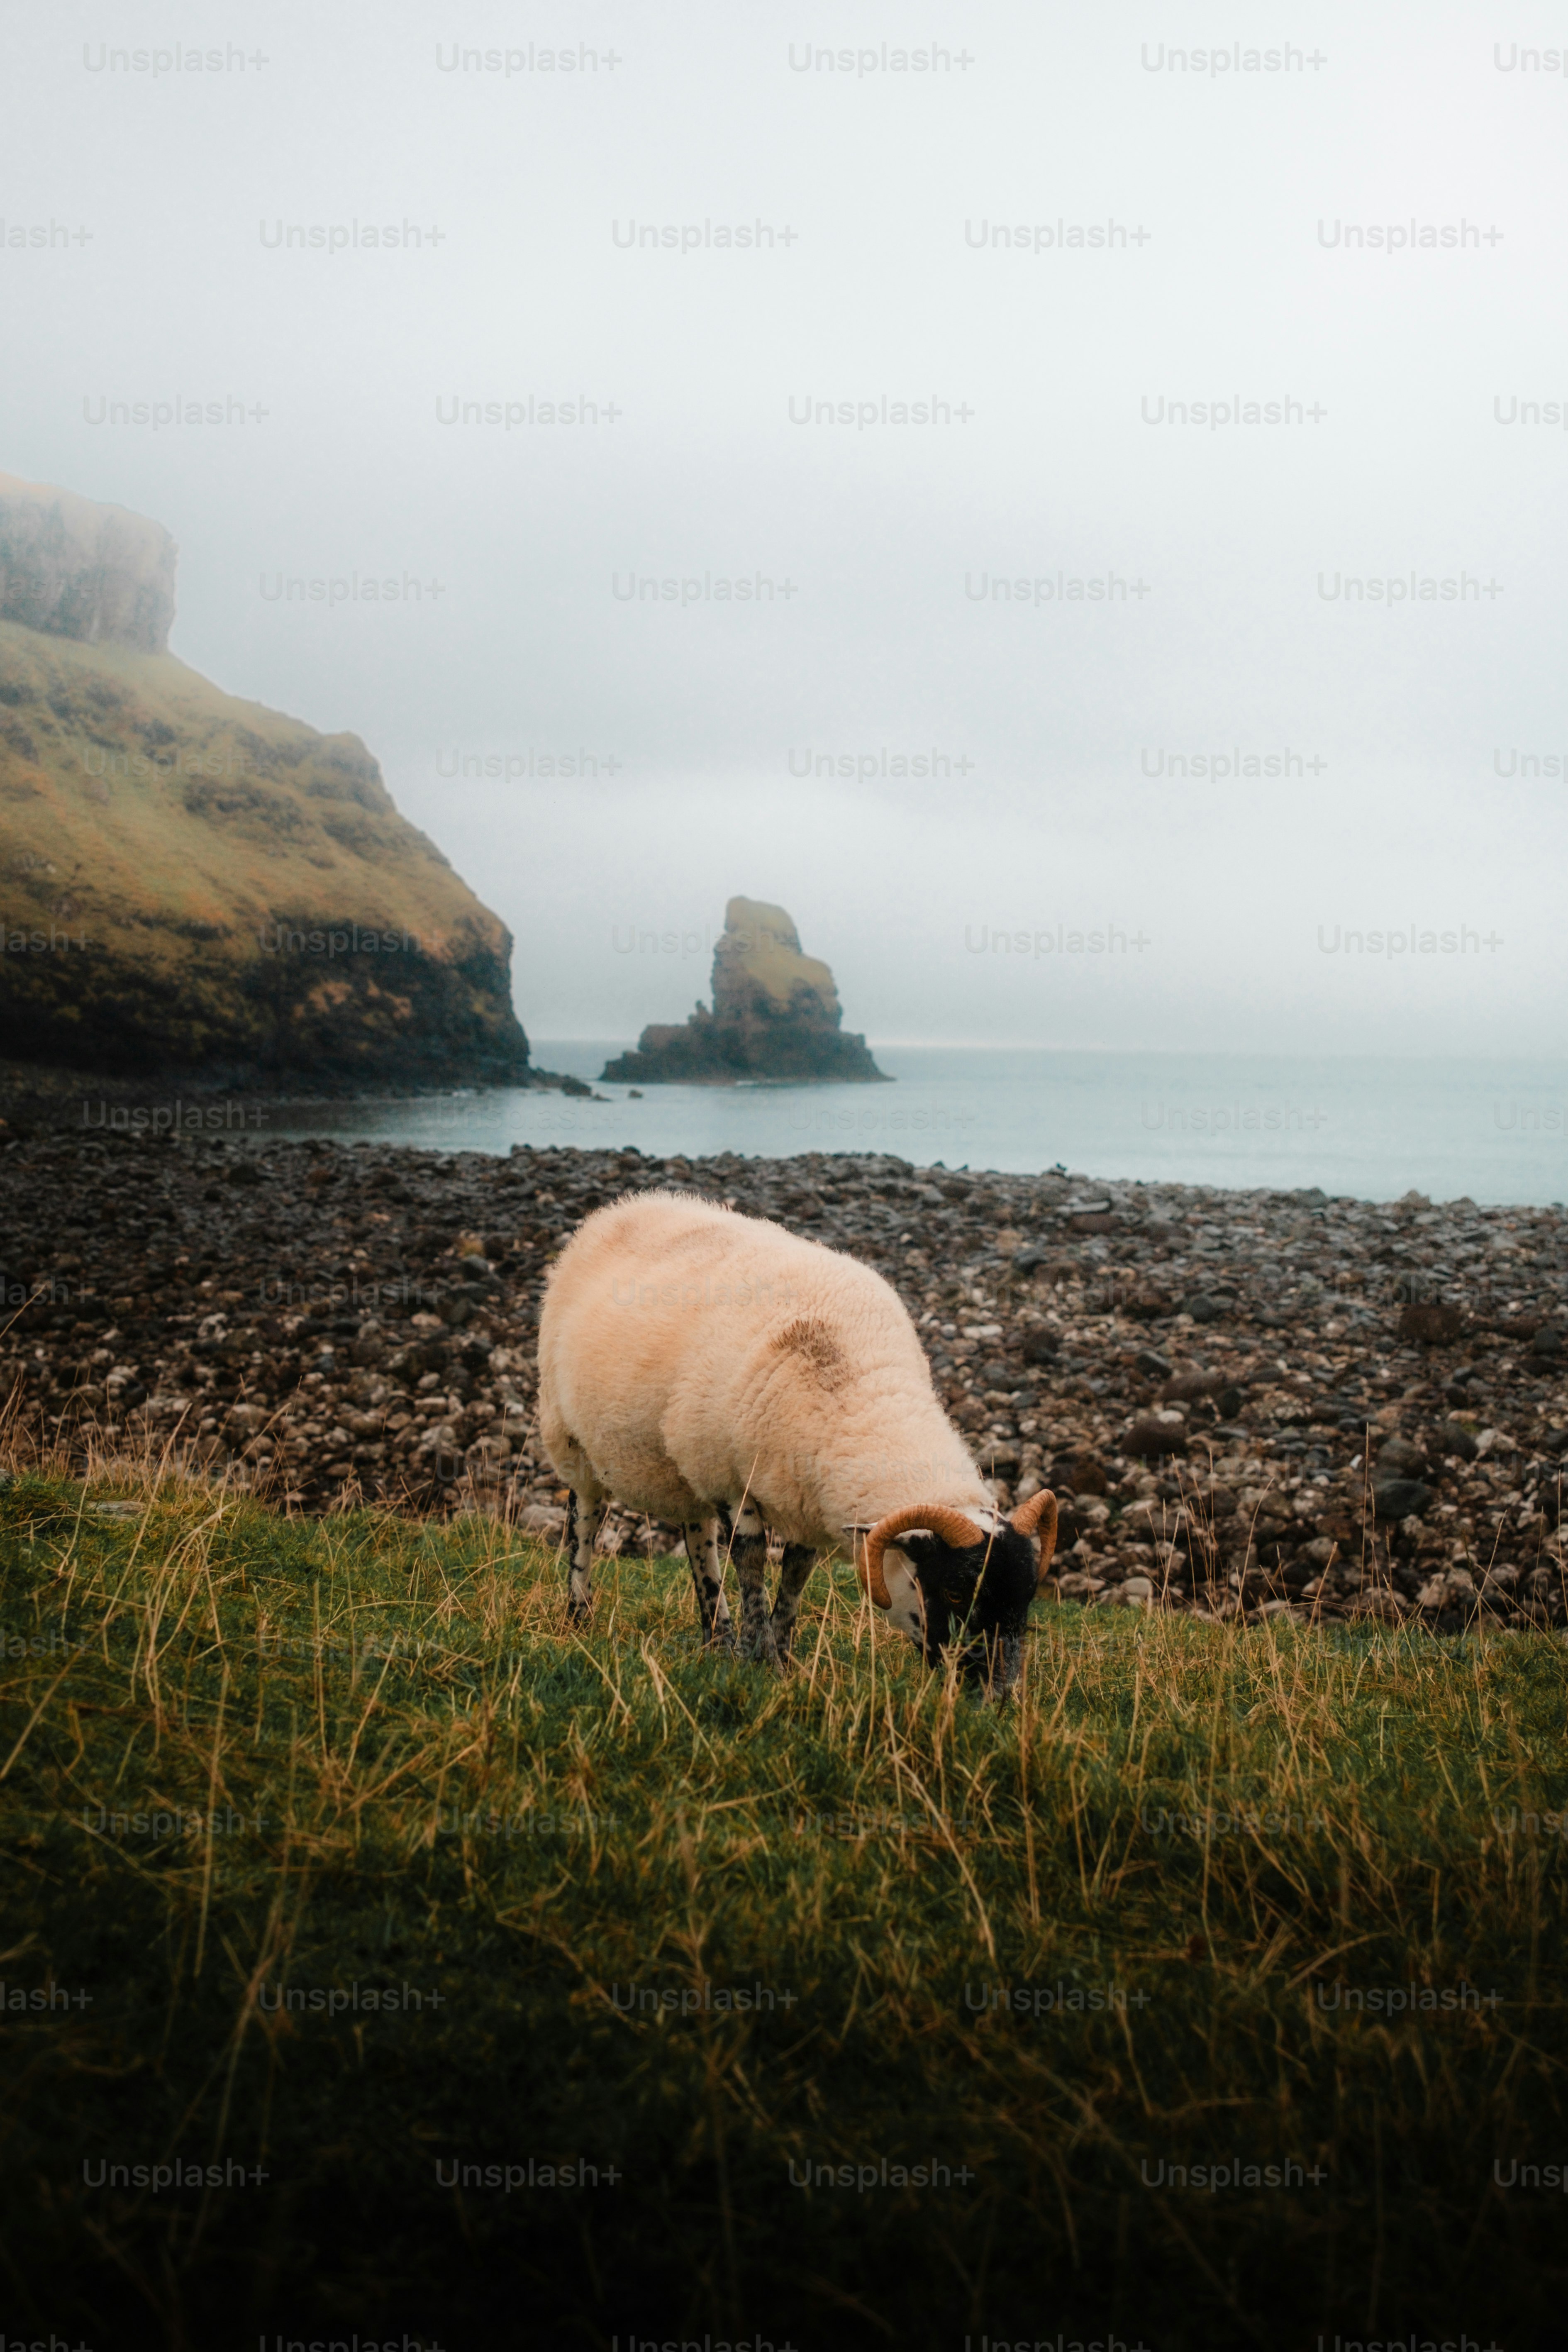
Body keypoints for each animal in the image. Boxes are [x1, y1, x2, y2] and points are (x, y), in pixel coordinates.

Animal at [536, 1190, 1059, 1693]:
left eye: (1027, 1595)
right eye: (953, 1591)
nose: (997, 1695)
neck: (857, 1391)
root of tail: (621, 1207)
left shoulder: (803, 1505)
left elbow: (793, 1577)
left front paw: (782, 1659)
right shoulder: (732, 1482)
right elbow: (751, 1565)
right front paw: (758, 1658)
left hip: (685, 1466)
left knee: (698, 1538)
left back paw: (716, 1638)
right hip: (570, 1438)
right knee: (584, 1521)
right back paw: (580, 1614)